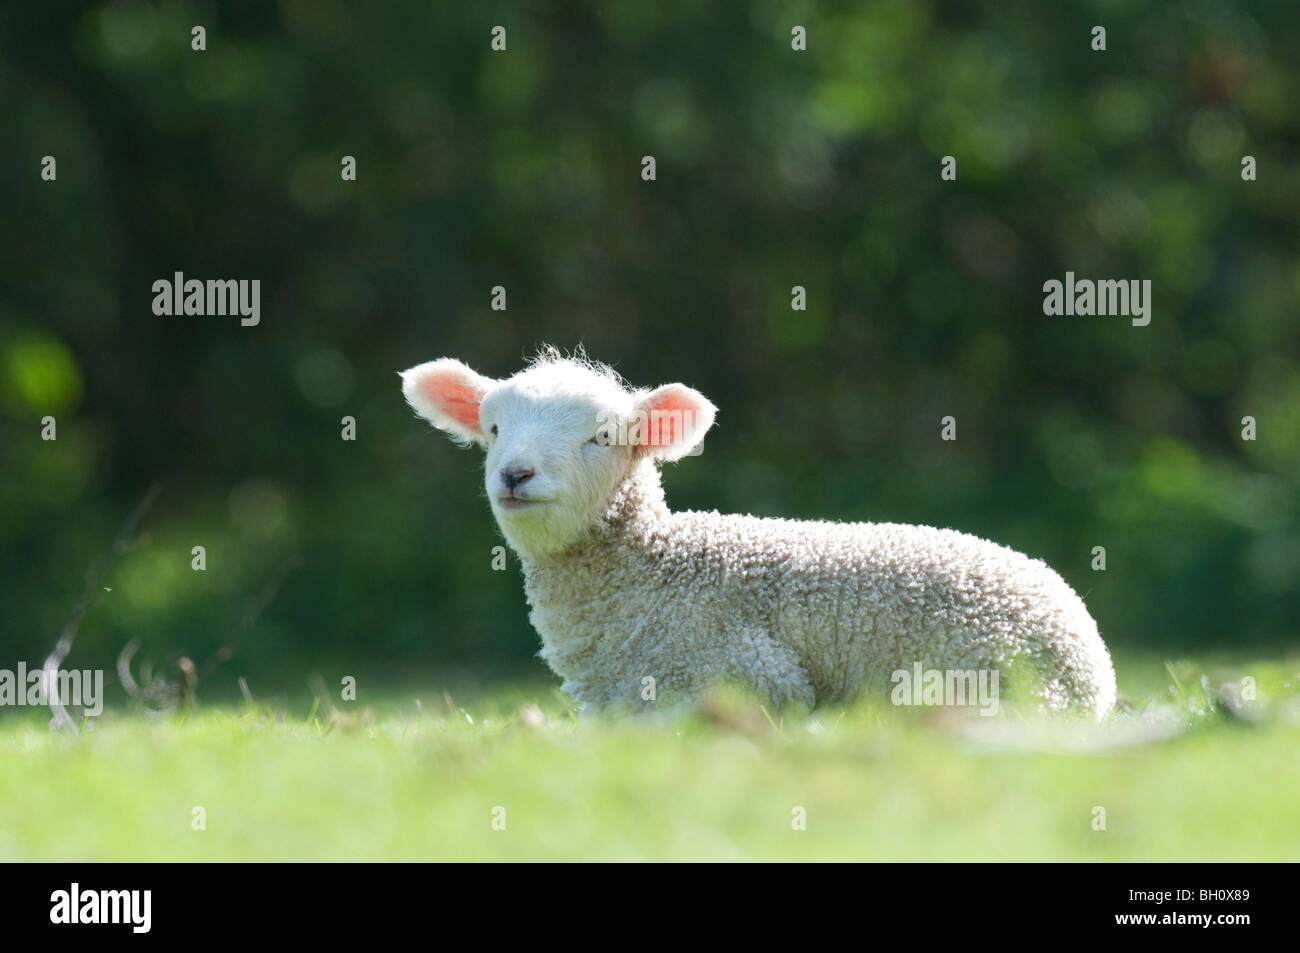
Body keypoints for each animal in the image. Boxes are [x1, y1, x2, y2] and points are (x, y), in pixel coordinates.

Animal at [400, 349, 1117, 718]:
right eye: (493, 428)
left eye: (602, 436)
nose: (515, 474)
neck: (652, 572)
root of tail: (1091, 659)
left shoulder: (740, 671)